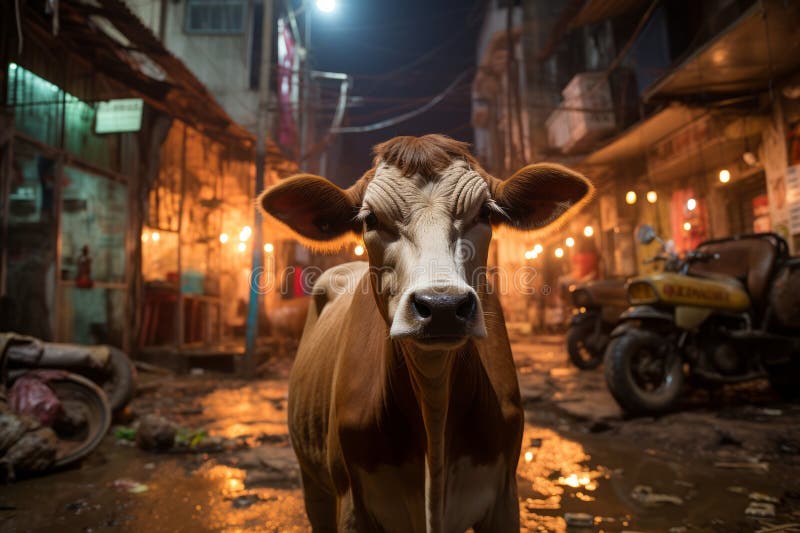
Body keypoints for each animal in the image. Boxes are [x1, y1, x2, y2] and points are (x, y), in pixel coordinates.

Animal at [259, 135, 592, 532]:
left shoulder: (504, 498)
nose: (443, 306)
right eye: (371, 218)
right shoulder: (350, 502)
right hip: (314, 488)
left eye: (484, 214)